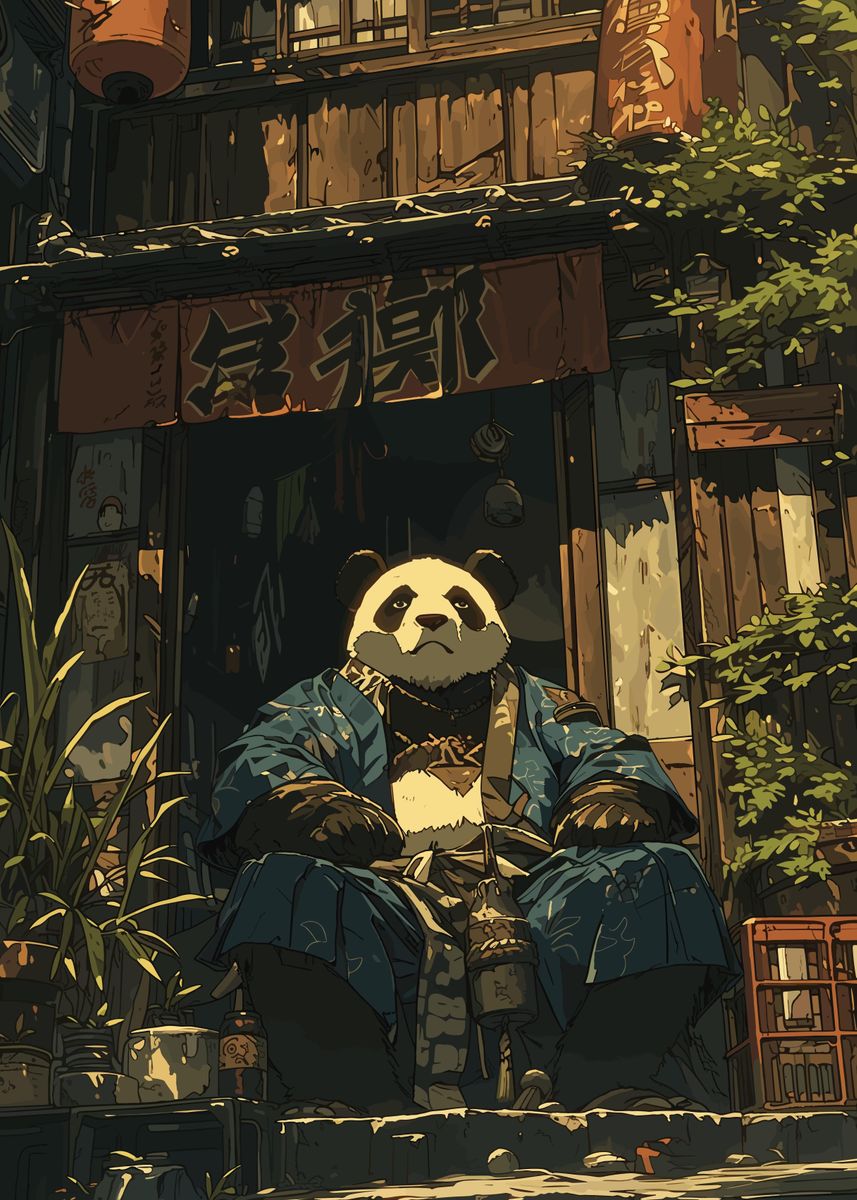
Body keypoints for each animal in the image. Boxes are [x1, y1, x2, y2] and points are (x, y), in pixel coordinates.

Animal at [200, 548, 739, 1116]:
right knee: (299, 892)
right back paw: (337, 1099)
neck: (436, 694)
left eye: (462, 601)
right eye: (399, 601)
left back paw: (621, 1089)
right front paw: (346, 819)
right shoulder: (321, 696)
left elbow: (599, 746)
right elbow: (270, 748)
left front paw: (605, 812)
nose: (433, 621)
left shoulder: (545, 701)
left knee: (647, 887)